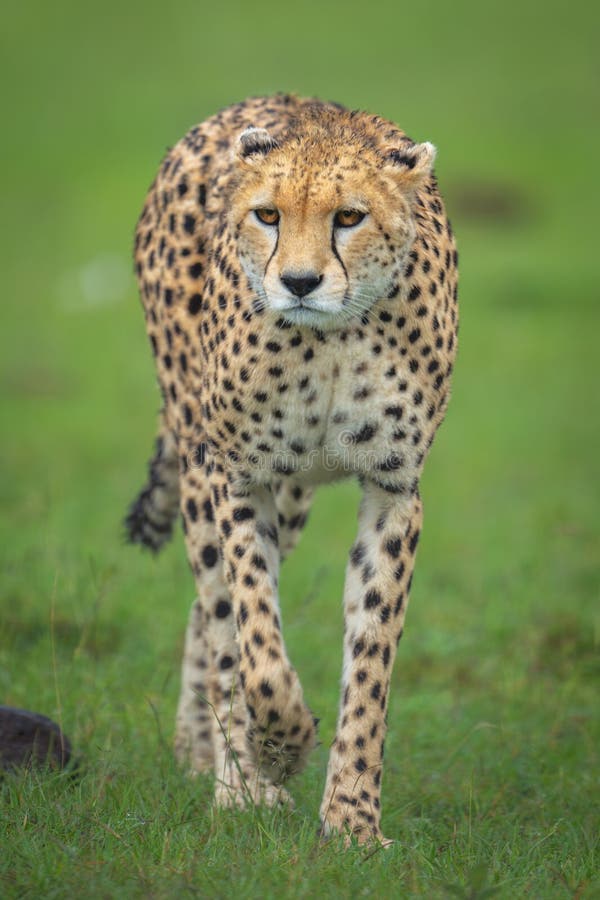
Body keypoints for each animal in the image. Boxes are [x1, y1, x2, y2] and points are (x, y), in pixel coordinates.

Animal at [125, 93, 458, 845]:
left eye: (350, 217)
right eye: (268, 215)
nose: (299, 283)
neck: (330, 338)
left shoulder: (394, 489)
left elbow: (371, 658)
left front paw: (353, 821)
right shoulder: (238, 477)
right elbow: (254, 642)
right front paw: (277, 752)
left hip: (295, 496)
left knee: (202, 611)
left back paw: (200, 752)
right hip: (201, 461)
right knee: (216, 613)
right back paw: (230, 777)